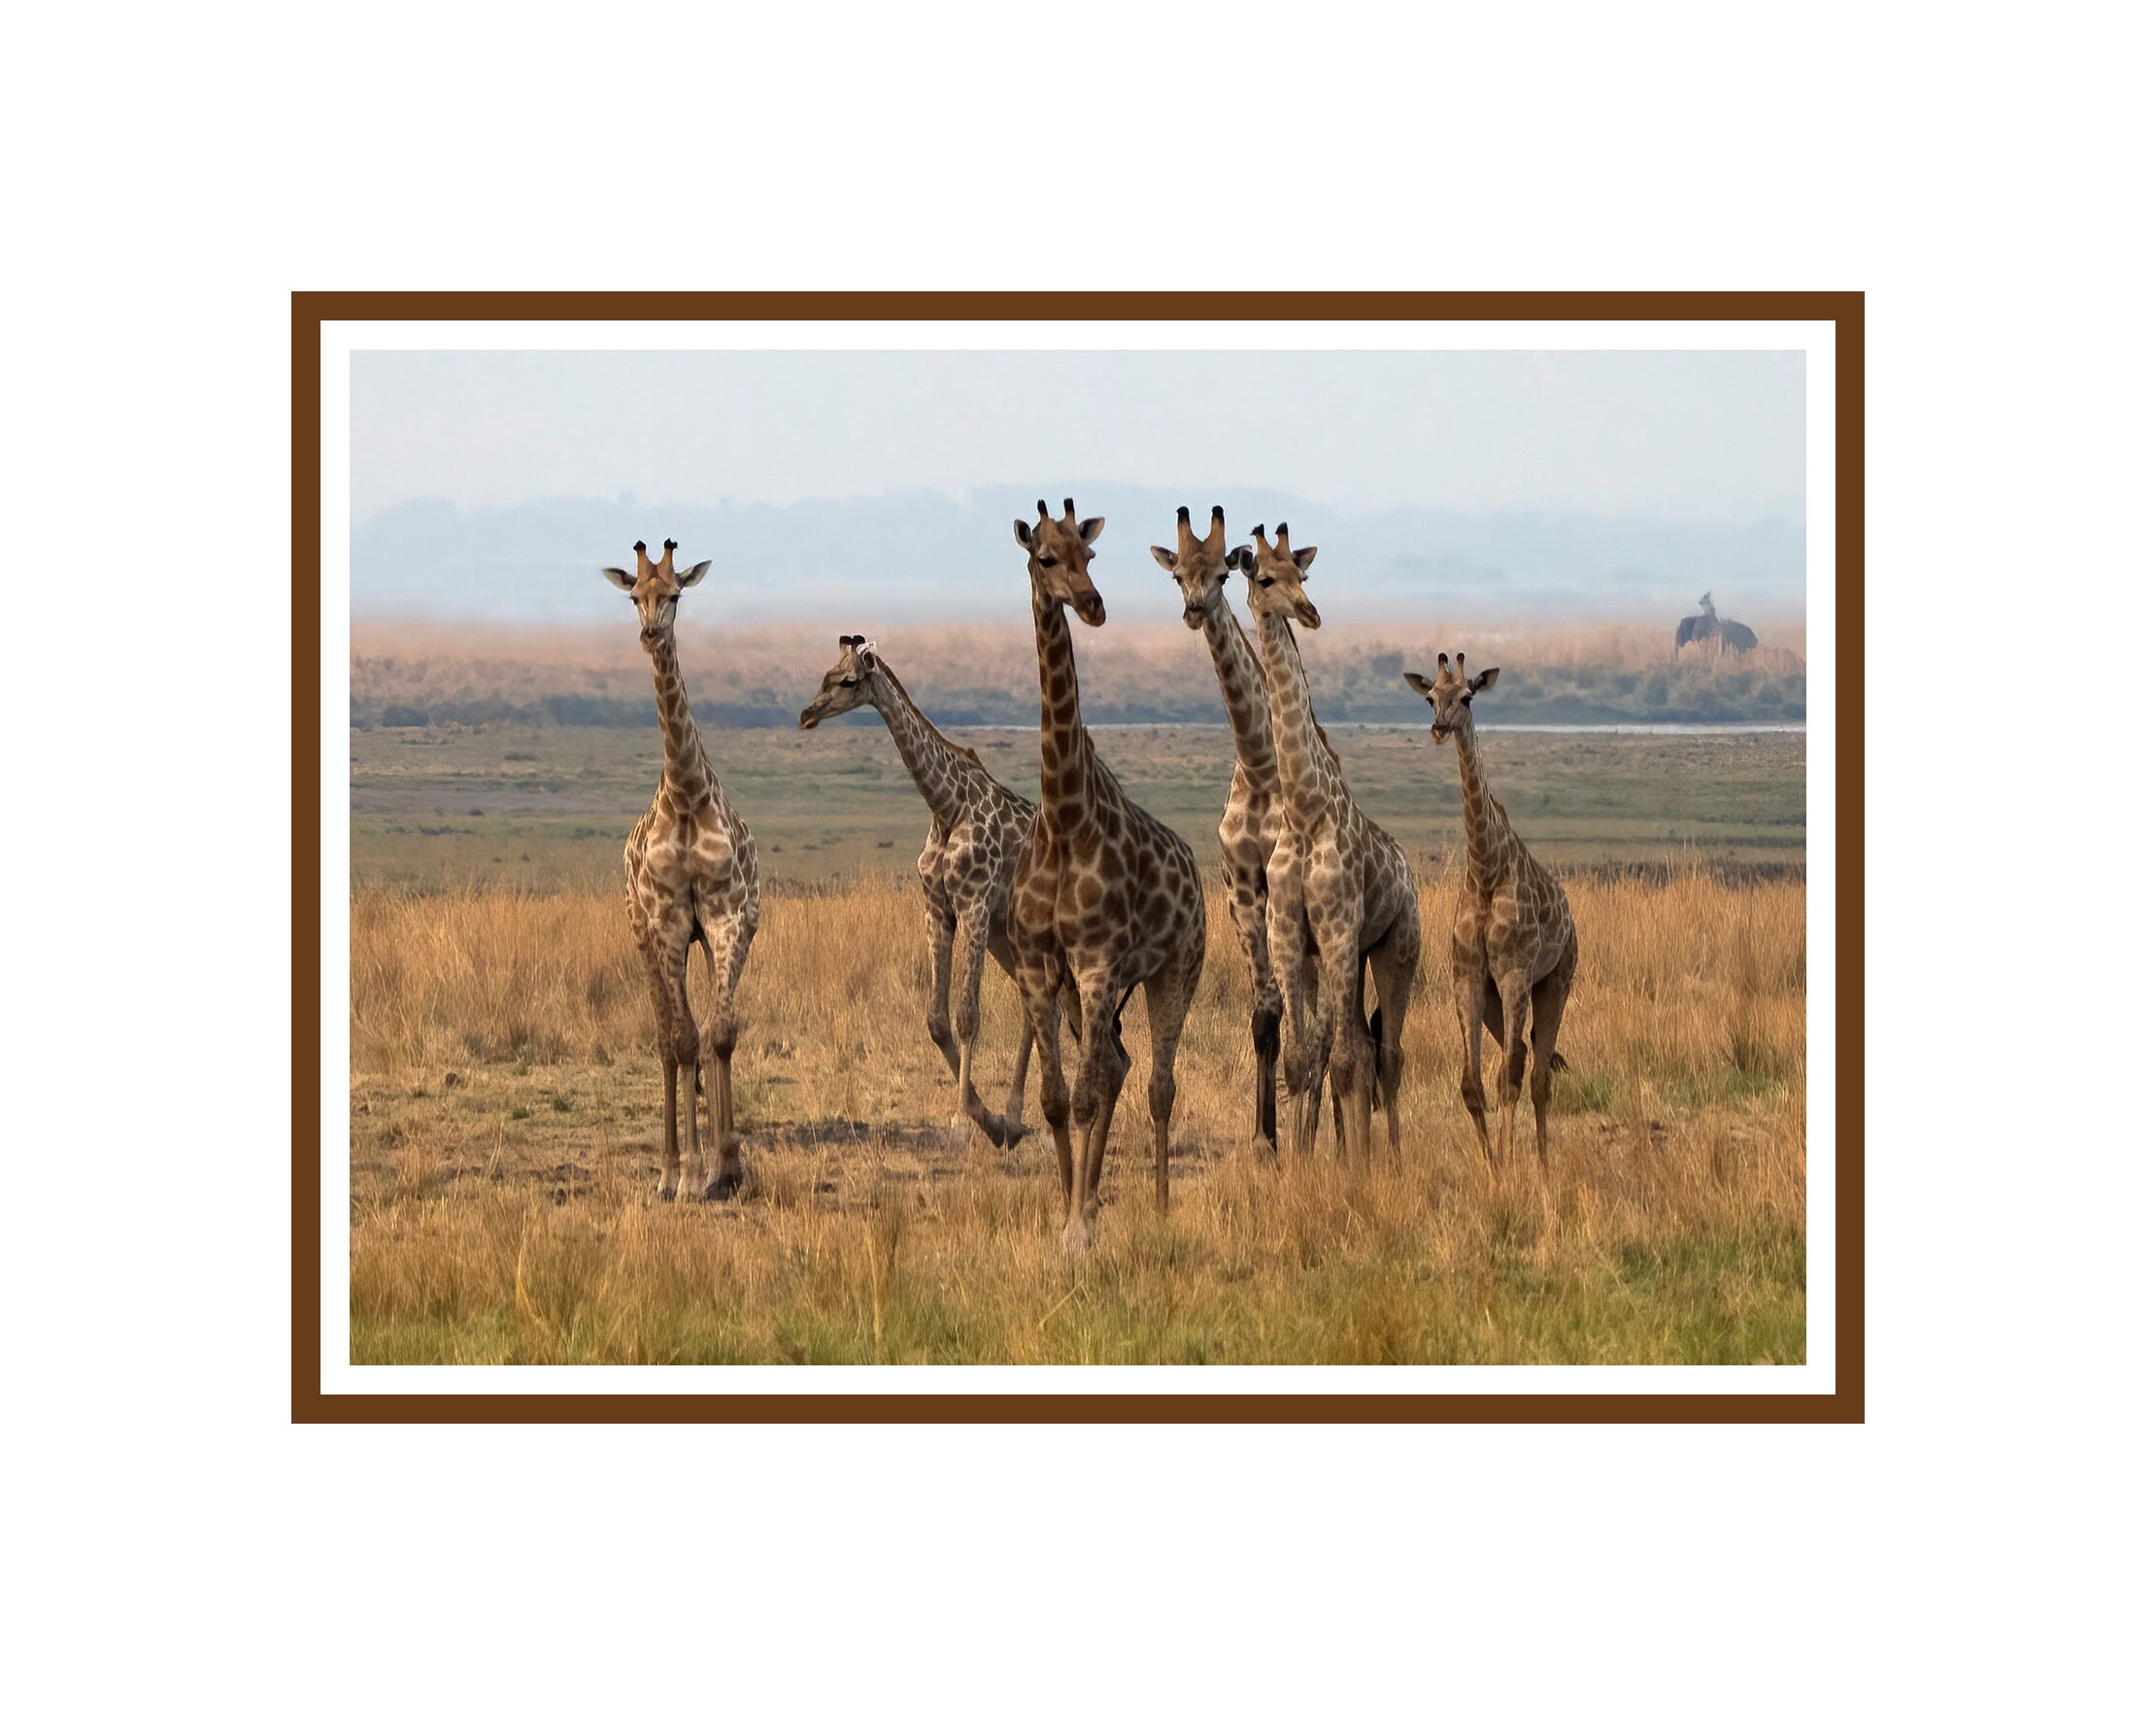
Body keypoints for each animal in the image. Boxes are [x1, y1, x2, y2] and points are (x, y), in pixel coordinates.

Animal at [799, 634, 1039, 1149]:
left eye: (848, 680)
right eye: (825, 674)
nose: (807, 714)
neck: (947, 806)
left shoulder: (973, 906)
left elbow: (968, 1016)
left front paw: (961, 1124)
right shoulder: (938, 908)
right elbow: (936, 1021)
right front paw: (986, 1120)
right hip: (1007, 937)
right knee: (1038, 1005)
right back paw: (1014, 1120)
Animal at [1009, 498, 1208, 1257]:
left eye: (1090, 556)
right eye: (1044, 557)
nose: (1093, 606)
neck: (1066, 819)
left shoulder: (1097, 964)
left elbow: (1087, 1094)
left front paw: (1076, 1234)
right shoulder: (1042, 968)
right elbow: (1056, 1098)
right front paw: (1069, 1215)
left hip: (1176, 969)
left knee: (1156, 1083)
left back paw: (1155, 1204)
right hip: (1091, 987)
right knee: (1118, 1067)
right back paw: (1094, 1199)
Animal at [1241, 524, 1421, 1162]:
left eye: (1304, 574)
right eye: (1265, 577)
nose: (1311, 612)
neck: (1303, 809)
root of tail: (1408, 873)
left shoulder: (1341, 929)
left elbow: (1342, 1061)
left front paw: (1353, 1168)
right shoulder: (1290, 934)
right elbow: (1301, 1059)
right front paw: (1299, 1162)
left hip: (1396, 949)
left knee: (1385, 1054)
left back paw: (1389, 1157)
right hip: (1349, 957)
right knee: (1361, 1048)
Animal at [1404, 653, 1578, 1168]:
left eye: (1468, 697)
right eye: (1430, 698)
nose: (1440, 728)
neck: (1485, 871)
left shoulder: (1515, 972)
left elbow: (1512, 1076)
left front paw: (1512, 1164)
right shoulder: (1469, 977)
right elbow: (1472, 1084)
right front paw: (1494, 1165)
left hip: (1556, 980)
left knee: (1537, 1073)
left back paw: (1542, 1162)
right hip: (1497, 1000)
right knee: (1520, 1056)